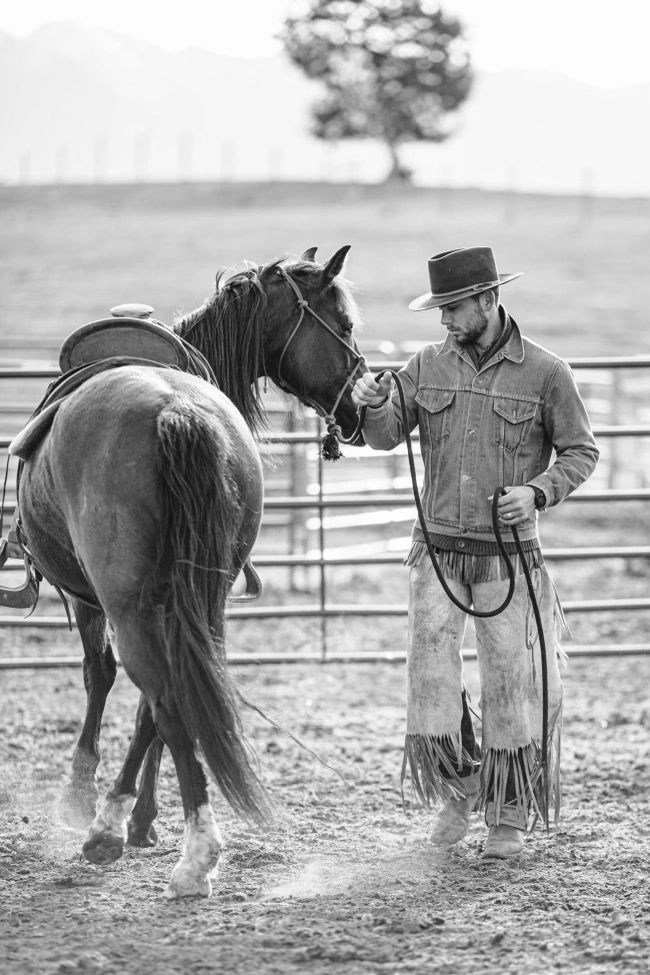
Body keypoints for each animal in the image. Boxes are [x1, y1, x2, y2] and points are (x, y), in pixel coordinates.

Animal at [16, 246, 365, 897]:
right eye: (346, 323)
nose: (359, 409)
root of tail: (174, 409)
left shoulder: (95, 601)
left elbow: (103, 678)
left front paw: (89, 801)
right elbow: (144, 705)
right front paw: (141, 817)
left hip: (128, 604)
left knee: (159, 690)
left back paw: (182, 849)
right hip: (198, 597)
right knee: (175, 689)